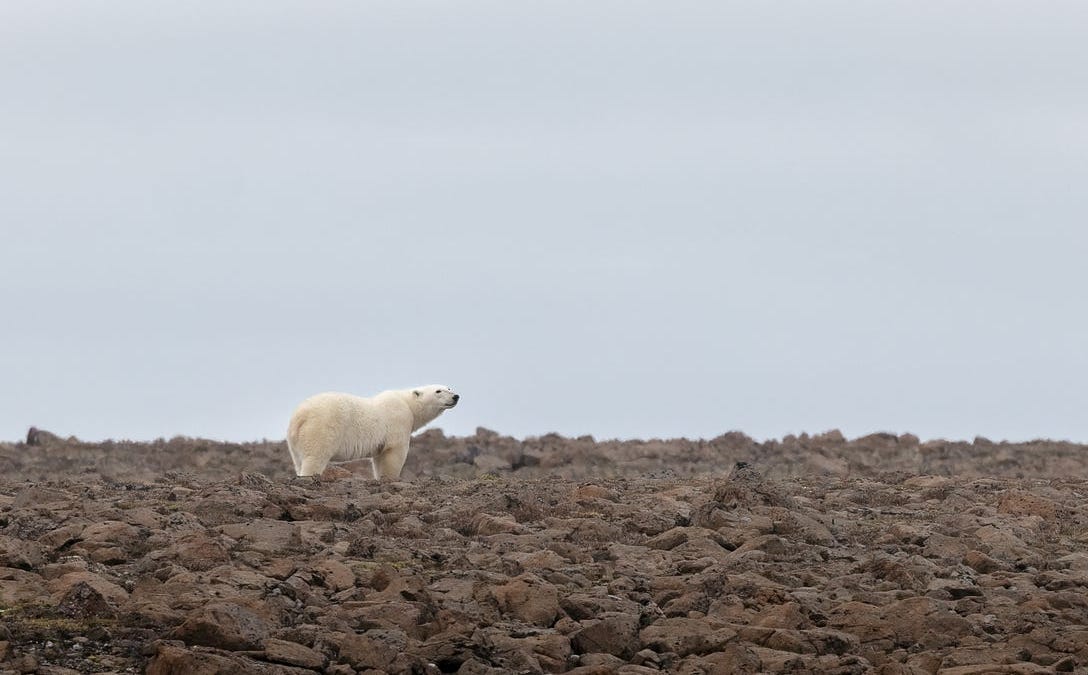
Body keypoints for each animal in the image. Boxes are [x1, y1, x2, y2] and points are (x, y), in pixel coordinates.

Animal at [286, 385, 459, 478]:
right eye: (438, 391)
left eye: (449, 388)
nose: (456, 396)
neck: (407, 404)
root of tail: (300, 415)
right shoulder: (399, 422)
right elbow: (394, 454)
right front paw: (390, 478)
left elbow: (378, 459)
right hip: (321, 428)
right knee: (315, 456)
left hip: (295, 440)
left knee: (298, 460)